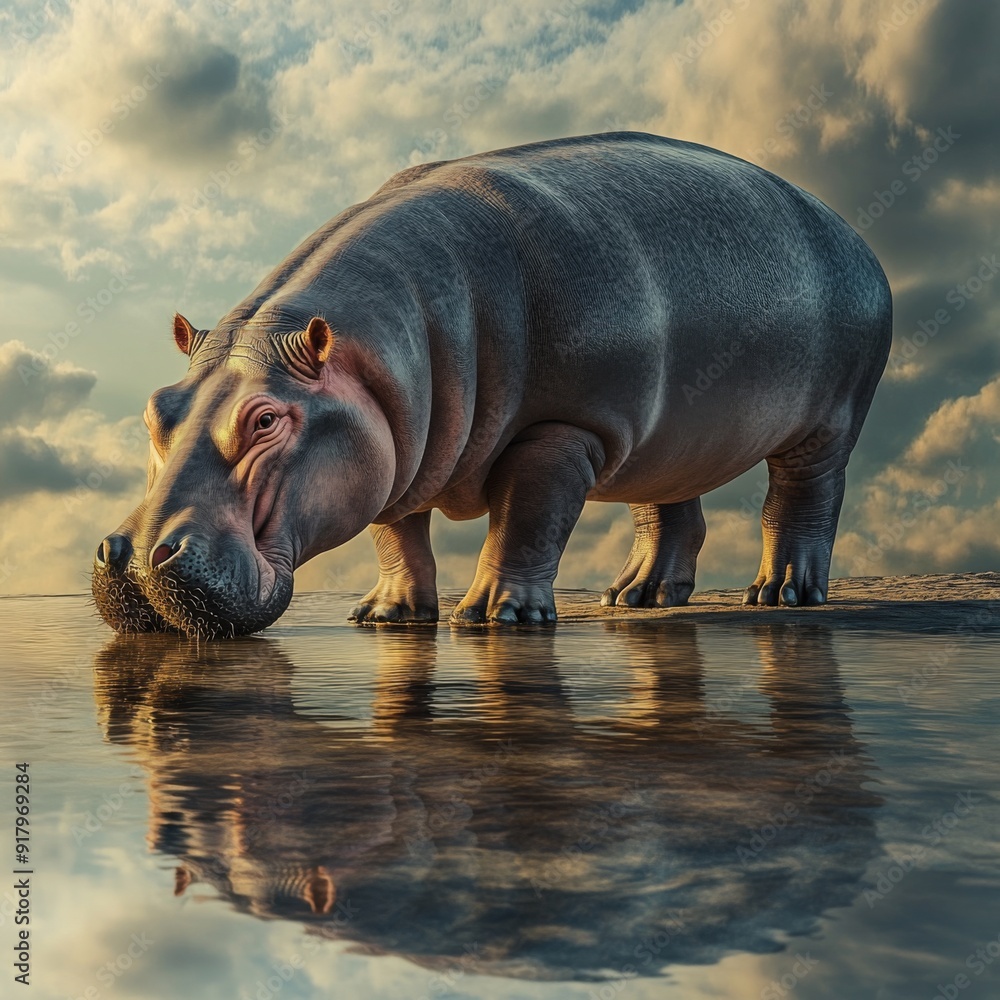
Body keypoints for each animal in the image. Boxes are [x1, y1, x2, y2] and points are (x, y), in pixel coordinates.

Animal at [92, 131, 892, 637]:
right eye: (157, 411)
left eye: (265, 420)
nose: (129, 558)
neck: (372, 357)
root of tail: (851, 233)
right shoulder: (394, 436)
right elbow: (396, 536)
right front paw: (385, 616)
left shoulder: (563, 429)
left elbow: (527, 519)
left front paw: (495, 617)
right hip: (663, 435)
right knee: (668, 505)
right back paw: (634, 597)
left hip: (829, 420)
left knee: (803, 496)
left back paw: (782, 593)